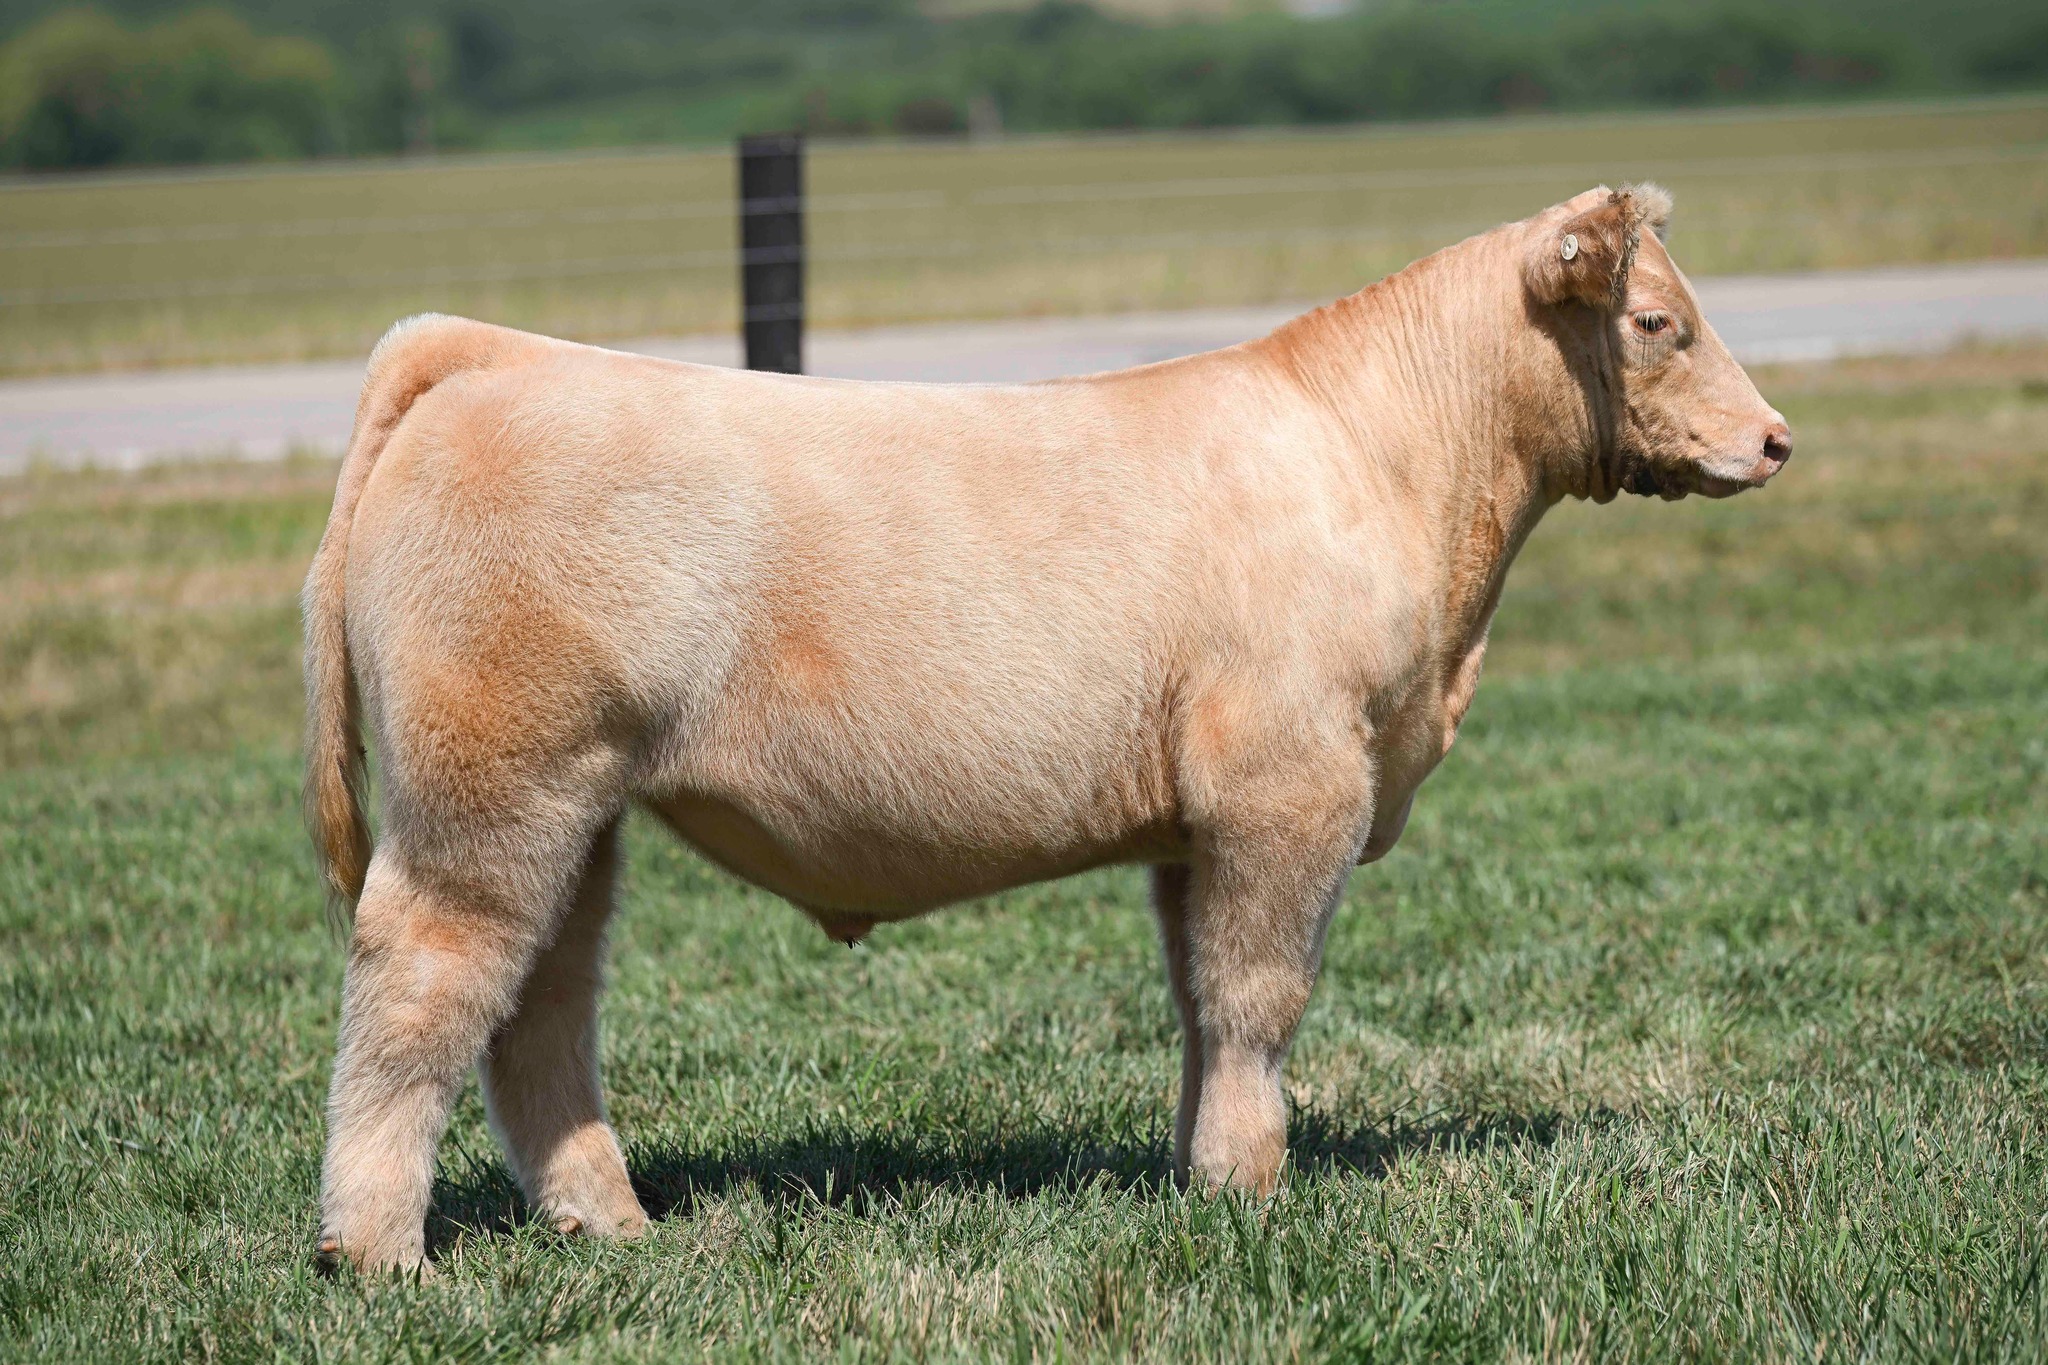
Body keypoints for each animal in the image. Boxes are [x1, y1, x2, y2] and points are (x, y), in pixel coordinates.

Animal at [302, 184, 1790, 1272]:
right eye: (1655, 321)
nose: (1775, 438)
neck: (1385, 469)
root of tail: (485, 352)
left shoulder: (1196, 826)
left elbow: (1198, 1002)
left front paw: (1199, 1174)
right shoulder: (1292, 787)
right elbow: (1259, 997)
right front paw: (1252, 1191)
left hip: (578, 808)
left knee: (539, 1008)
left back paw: (611, 1226)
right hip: (493, 794)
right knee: (423, 983)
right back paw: (376, 1254)